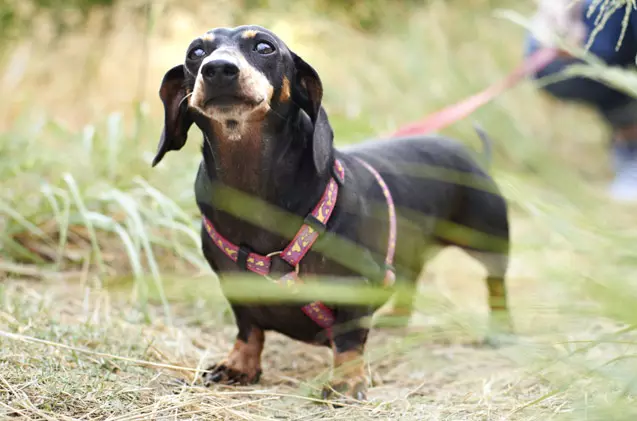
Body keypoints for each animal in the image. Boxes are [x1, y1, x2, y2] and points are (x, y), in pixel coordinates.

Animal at [153, 23, 512, 400]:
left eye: (264, 46)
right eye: (195, 52)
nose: (218, 69)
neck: (254, 189)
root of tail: (474, 154)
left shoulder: (357, 285)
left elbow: (349, 338)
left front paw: (347, 379)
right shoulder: (235, 288)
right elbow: (248, 330)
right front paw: (238, 365)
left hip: (490, 240)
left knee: (495, 284)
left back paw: (500, 330)